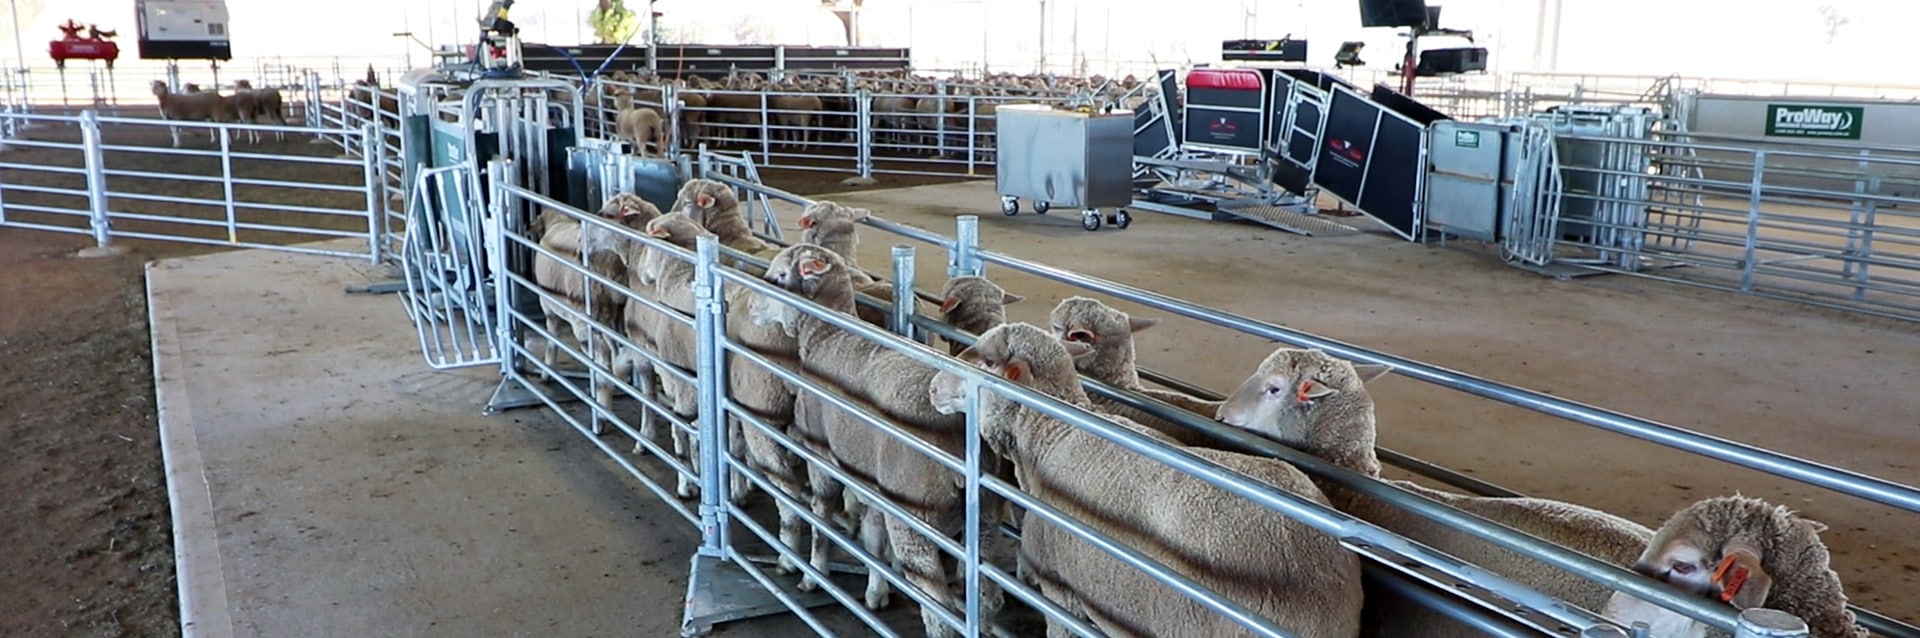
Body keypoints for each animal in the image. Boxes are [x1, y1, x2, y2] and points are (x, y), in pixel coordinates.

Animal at [750, 243, 1011, 637]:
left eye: (781, 275)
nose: (752, 307)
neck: (826, 335)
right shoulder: (872, 482)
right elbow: (873, 539)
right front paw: (876, 592)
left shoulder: (820, 453)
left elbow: (821, 517)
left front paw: (814, 575)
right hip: (986, 522)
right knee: (988, 600)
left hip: (914, 516)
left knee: (938, 610)